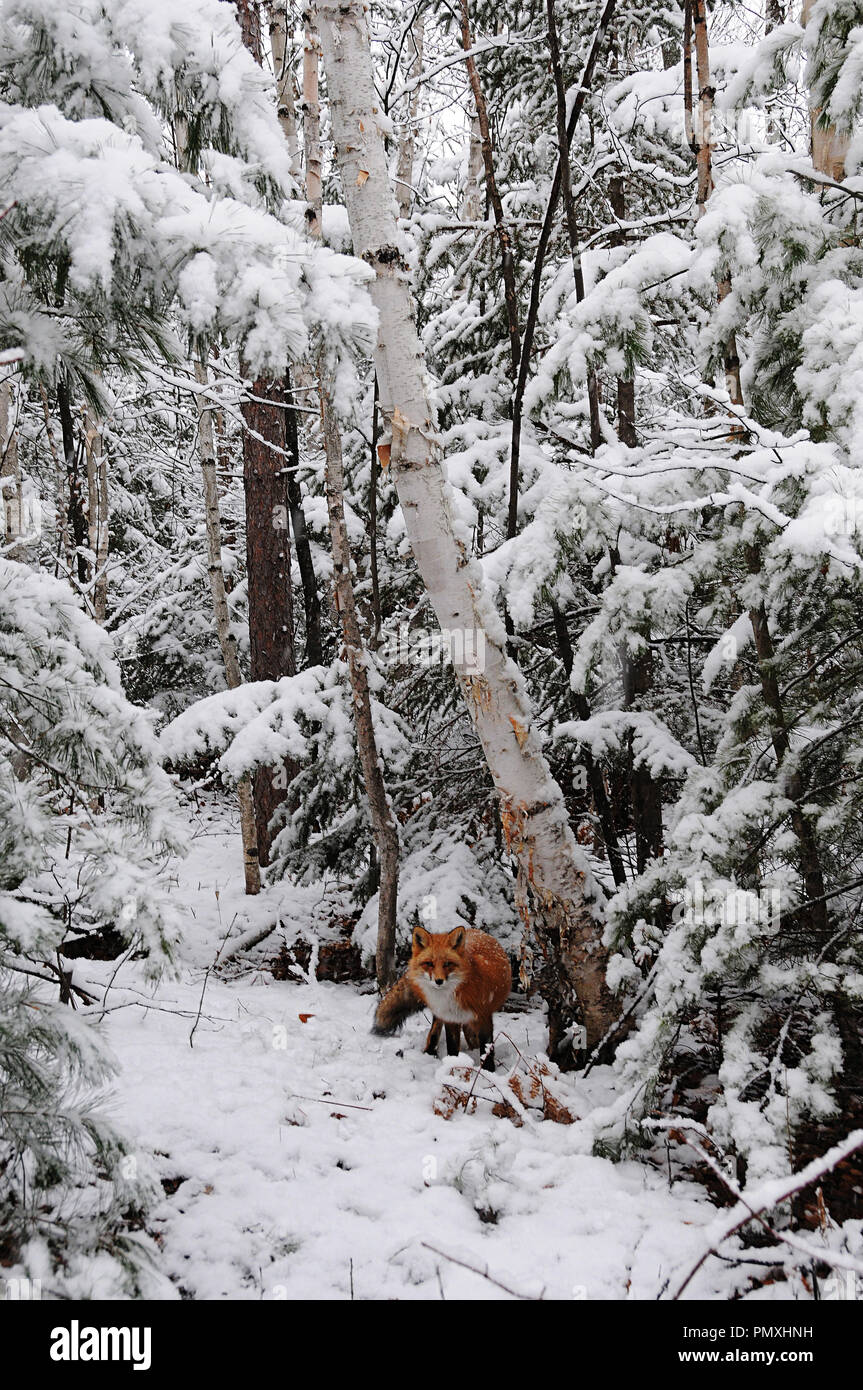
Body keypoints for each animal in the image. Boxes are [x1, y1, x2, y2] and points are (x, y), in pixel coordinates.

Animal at [372, 925, 511, 1071]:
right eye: (429, 963)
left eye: (447, 963)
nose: (439, 981)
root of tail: (474, 930)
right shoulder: (450, 1018)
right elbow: (452, 1047)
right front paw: (453, 1065)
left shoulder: (484, 1016)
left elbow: (487, 1049)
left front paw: (488, 1071)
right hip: (440, 1012)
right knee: (435, 1031)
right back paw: (430, 1052)